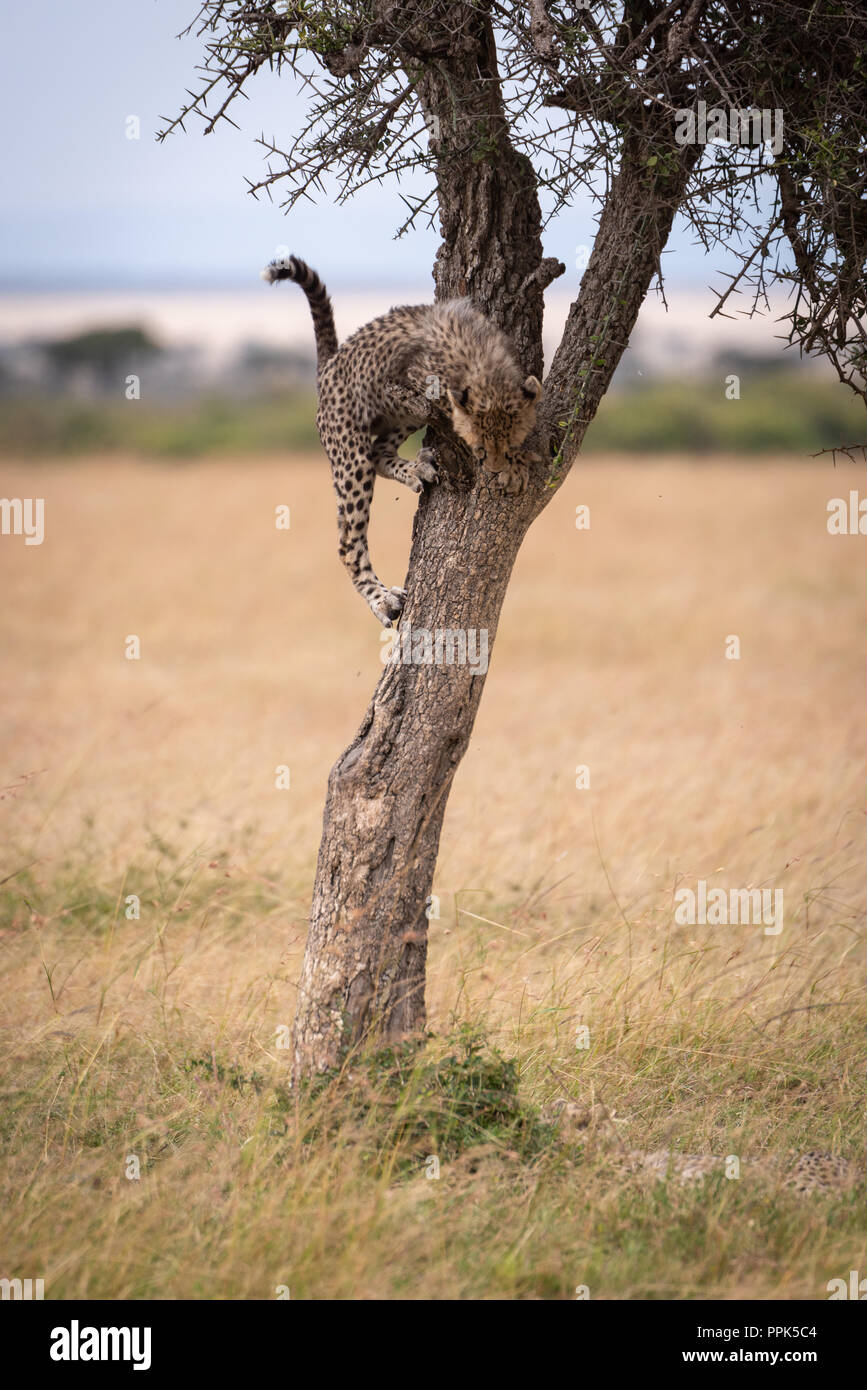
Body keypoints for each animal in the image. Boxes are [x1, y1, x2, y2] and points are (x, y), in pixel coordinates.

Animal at [262, 254, 542, 625]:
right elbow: (440, 408)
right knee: (348, 542)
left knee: (380, 451)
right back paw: (382, 599)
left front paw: (517, 463)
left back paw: (416, 469)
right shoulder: (412, 383)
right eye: (480, 451)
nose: (495, 467)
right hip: (350, 453)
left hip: (394, 422)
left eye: (508, 447)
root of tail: (329, 366)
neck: (481, 365)